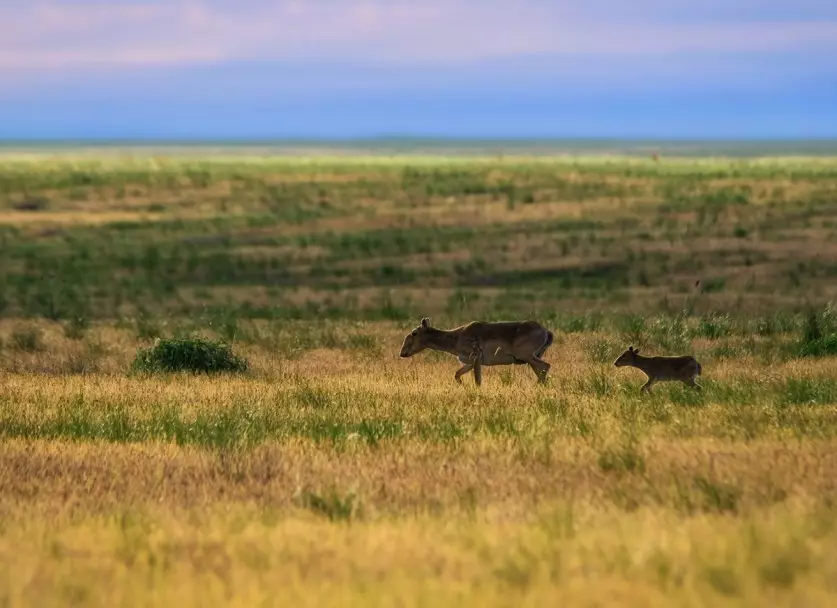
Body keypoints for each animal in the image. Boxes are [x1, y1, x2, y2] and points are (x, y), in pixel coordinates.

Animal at [400, 318, 556, 384]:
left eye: (414, 333)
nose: (402, 352)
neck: (456, 338)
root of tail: (546, 332)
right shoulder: (468, 363)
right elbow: (457, 374)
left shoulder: (476, 358)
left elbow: (477, 380)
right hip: (530, 359)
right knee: (542, 371)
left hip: (527, 356)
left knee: (546, 366)